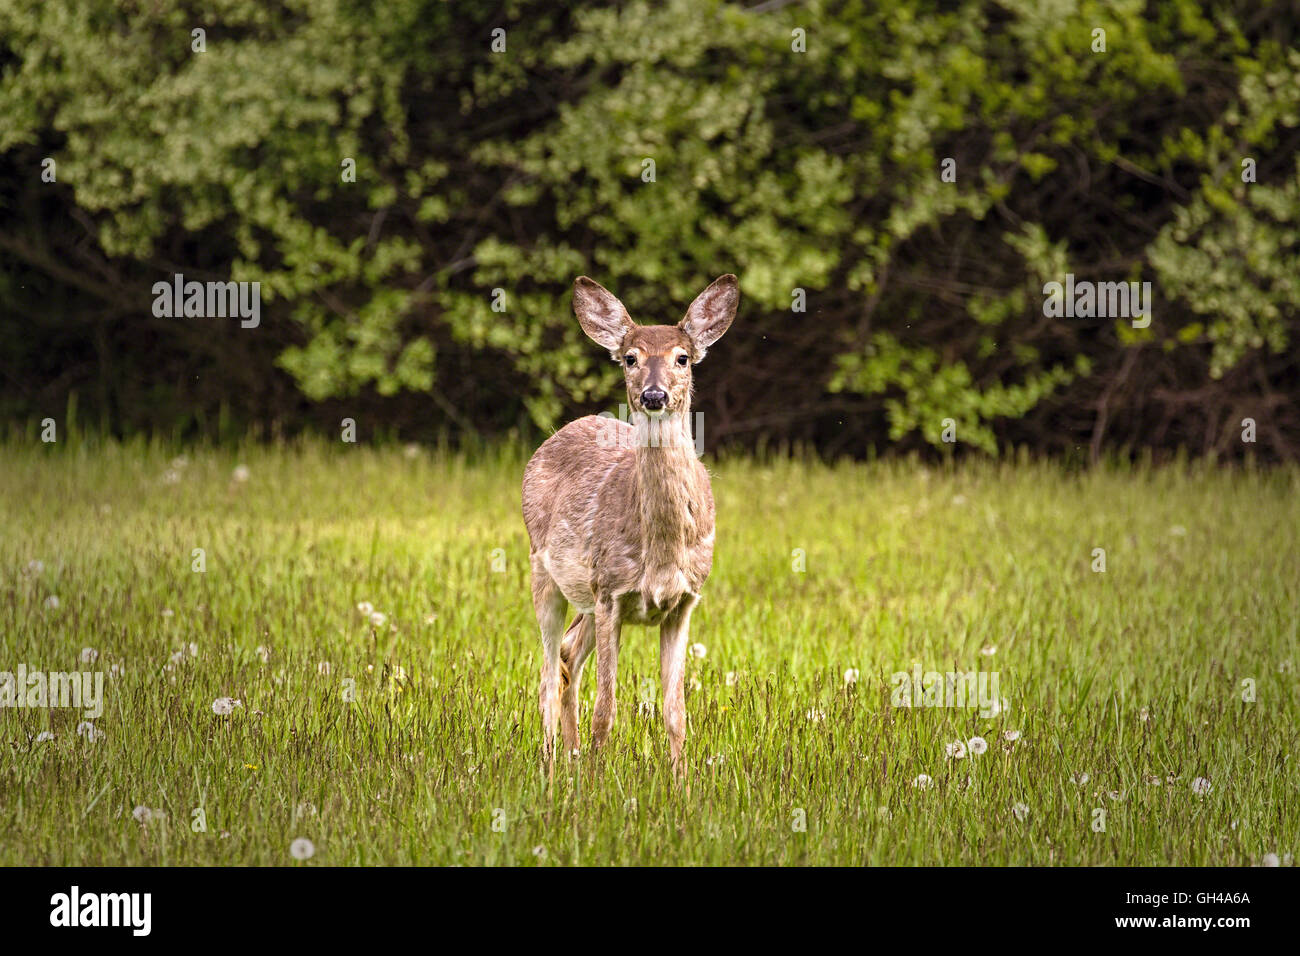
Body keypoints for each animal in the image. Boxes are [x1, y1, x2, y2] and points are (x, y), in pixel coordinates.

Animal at [521, 274, 738, 775]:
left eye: (682, 357)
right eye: (630, 358)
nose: (653, 395)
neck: (659, 550)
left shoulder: (685, 601)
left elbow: (676, 712)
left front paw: (681, 785)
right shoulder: (611, 593)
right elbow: (606, 709)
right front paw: (598, 784)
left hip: (584, 595)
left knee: (567, 655)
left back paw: (571, 758)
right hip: (546, 572)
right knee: (547, 672)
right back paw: (551, 767)